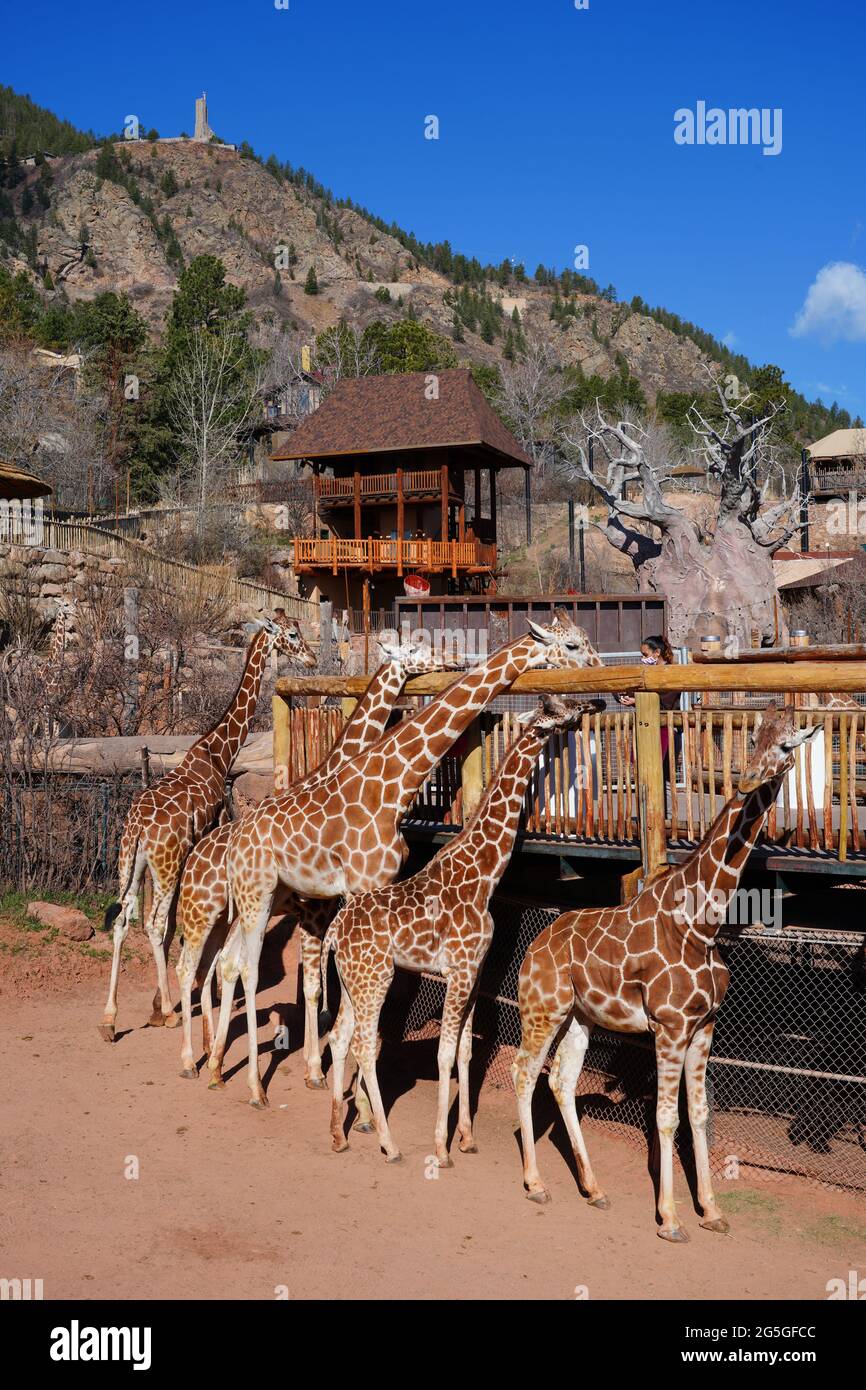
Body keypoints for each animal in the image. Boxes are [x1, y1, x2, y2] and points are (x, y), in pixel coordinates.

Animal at [98, 616, 316, 1042]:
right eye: (292, 634)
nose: (313, 659)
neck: (218, 752)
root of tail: (138, 828)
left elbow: (176, 929)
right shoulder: (212, 830)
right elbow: (178, 927)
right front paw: (191, 996)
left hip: (129, 862)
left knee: (122, 920)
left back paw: (110, 1020)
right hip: (164, 865)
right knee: (151, 924)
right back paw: (168, 1012)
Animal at [174, 634, 462, 1086]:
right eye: (418, 648)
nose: (453, 658)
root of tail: (195, 857)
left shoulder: (318, 913)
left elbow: (313, 987)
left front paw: (316, 1063)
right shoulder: (315, 912)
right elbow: (314, 987)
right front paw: (316, 1068)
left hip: (226, 916)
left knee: (216, 967)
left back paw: (213, 1059)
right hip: (204, 909)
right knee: (192, 967)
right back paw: (191, 1060)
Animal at [216, 618, 603, 1108]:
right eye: (571, 644)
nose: (597, 675)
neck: (391, 786)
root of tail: (235, 836)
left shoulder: (371, 889)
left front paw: (338, 1087)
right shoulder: (359, 887)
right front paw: (359, 1105)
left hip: (263, 899)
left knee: (227, 961)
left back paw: (213, 1066)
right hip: (259, 893)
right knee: (245, 967)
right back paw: (252, 1085)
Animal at [323, 695, 604, 1166]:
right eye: (558, 707)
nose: (596, 702)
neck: (484, 876)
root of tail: (334, 931)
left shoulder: (475, 970)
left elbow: (466, 1051)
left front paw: (467, 1138)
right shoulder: (457, 969)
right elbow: (443, 1053)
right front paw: (441, 1147)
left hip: (351, 979)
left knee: (341, 1038)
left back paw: (339, 1135)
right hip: (376, 977)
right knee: (363, 1044)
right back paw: (389, 1144)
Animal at [512, 704, 820, 1241]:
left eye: (786, 744)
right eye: (754, 738)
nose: (747, 779)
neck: (701, 921)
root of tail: (535, 946)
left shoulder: (704, 1026)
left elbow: (698, 1115)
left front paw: (711, 1212)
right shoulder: (669, 1027)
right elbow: (666, 1117)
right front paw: (671, 1219)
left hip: (578, 1017)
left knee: (562, 1082)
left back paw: (593, 1188)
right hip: (541, 1009)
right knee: (524, 1072)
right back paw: (535, 1184)